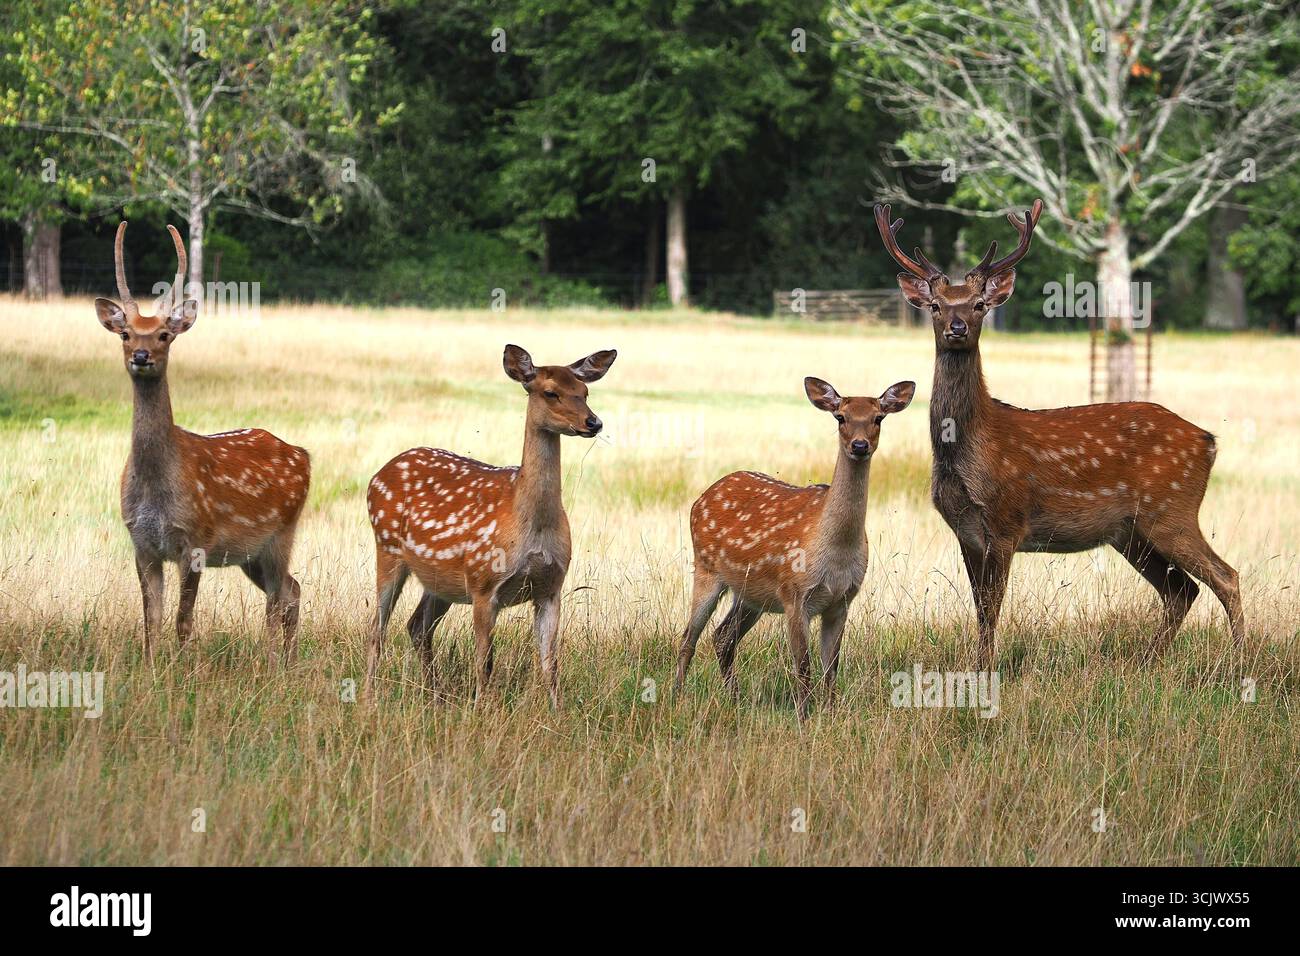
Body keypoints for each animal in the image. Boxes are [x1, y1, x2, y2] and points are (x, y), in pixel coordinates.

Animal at [95, 221, 311, 662]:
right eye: (125, 333)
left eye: (164, 334)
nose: (140, 355)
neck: (157, 490)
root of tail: (304, 455)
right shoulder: (142, 543)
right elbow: (150, 620)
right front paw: (150, 668)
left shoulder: (194, 540)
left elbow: (183, 621)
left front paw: (180, 669)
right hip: (250, 553)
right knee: (292, 590)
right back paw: (287, 659)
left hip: (282, 533)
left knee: (280, 596)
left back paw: (274, 661)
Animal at [366, 344, 616, 706]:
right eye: (550, 392)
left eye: (584, 392)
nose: (593, 422)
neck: (529, 526)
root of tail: (377, 476)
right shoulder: (484, 584)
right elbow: (484, 660)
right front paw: (480, 708)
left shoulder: (551, 587)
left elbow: (550, 663)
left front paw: (558, 712)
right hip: (387, 547)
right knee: (378, 627)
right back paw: (368, 697)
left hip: (441, 580)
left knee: (417, 626)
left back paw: (436, 697)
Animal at [675, 376, 915, 719]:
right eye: (840, 416)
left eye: (878, 418)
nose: (859, 446)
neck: (835, 552)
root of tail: (700, 499)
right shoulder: (794, 594)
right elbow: (803, 666)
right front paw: (804, 717)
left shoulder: (842, 600)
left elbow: (831, 668)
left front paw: (830, 714)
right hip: (706, 569)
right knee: (688, 637)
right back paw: (677, 697)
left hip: (751, 595)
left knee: (722, 636)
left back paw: (734, 699)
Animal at [873, 199, 1245, 671]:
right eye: (936, 306)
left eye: (979, 304)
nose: (957, 328)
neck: (968, 450)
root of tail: (1207, 441)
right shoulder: (964, 531)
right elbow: (979, 609)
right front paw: (976, 666)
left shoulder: (1006, 521)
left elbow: (992, 608)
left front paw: (984, 671)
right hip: (1131, 533)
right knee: (1182, 590)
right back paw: (1143, 664)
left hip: (1172, 509)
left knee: (1225, 576)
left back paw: (1239, 660)